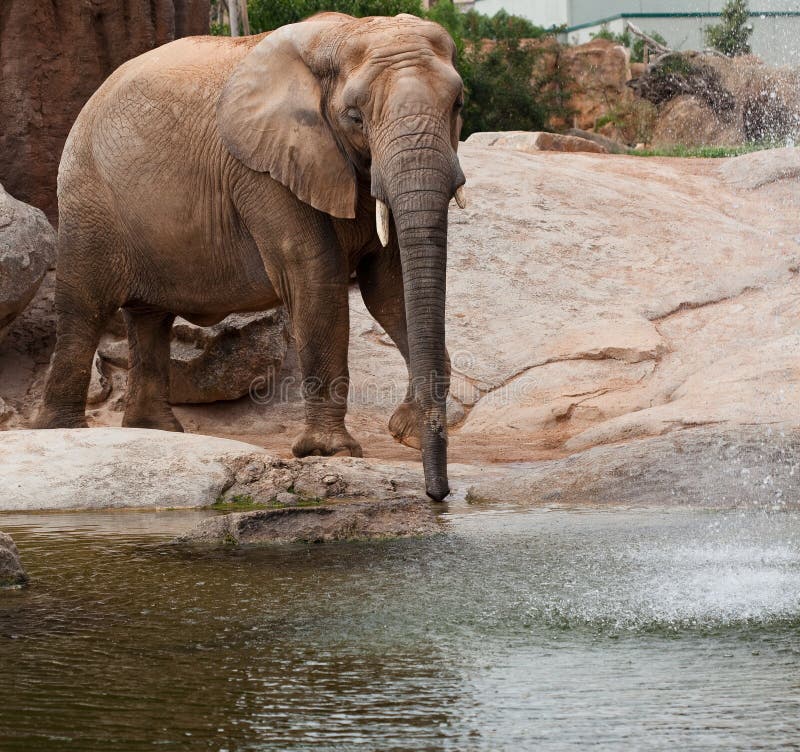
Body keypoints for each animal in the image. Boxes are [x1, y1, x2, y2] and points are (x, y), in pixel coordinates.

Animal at [34, 12, 466, 501]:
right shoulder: (261, 169)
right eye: (355, 116)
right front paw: (331, 453)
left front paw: (405, 432)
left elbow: (389, 290)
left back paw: (157, 432)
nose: (437, 494)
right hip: (88, 199)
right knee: (84, 309)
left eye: (458, 105)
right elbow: (314, 275)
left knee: (150, 317)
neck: (345, 33)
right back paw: (64, 432)